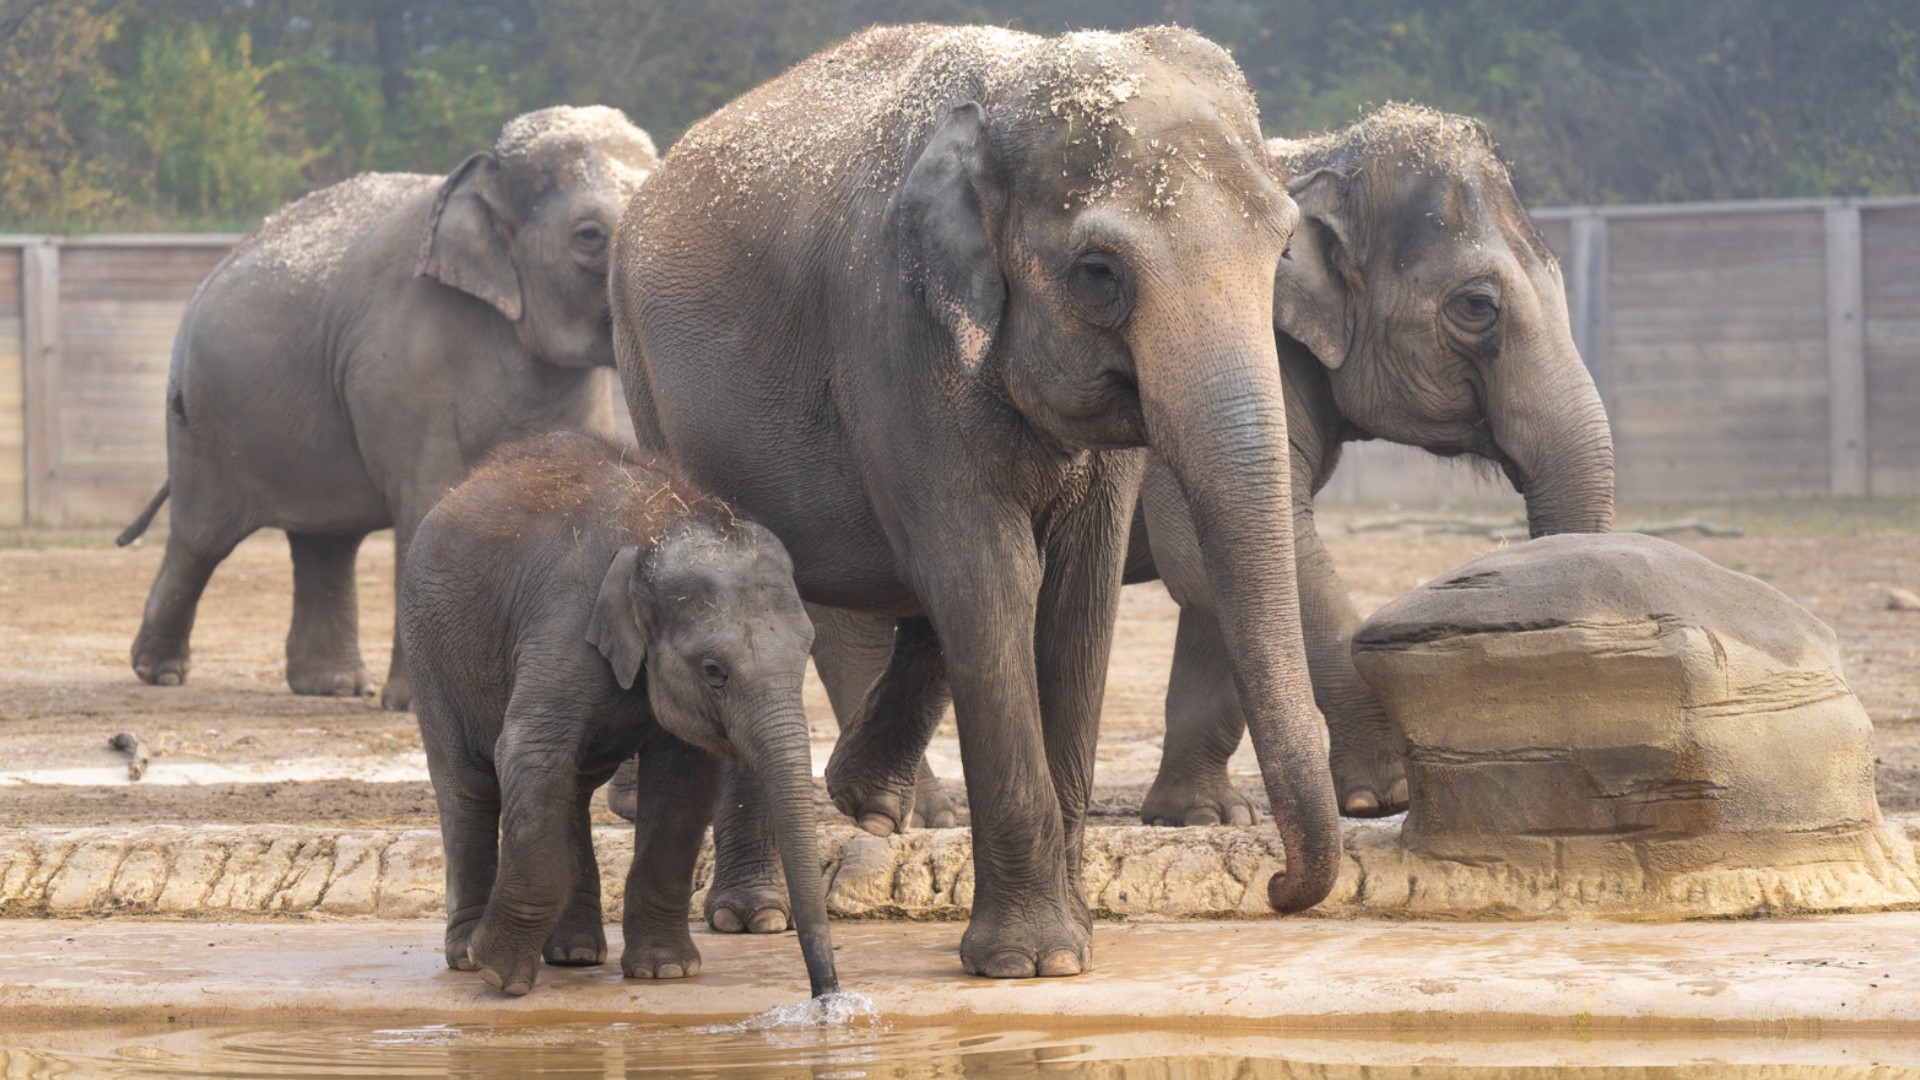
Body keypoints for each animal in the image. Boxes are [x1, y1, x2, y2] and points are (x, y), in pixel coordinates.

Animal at [117, 106, 658, 711]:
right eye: (589, 236)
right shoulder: (402, 368)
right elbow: (428, 496)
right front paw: (413, 706)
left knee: (325, 540)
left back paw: (333, 687)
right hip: (201, 422)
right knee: (202, 537)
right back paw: (160, 672)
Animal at [401, 431, 836, 1000]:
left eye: (808, 649)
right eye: (714, 670)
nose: (828, 996)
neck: (661, 522)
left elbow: (682, 783)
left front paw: (666, 972)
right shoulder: (564, 622)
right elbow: (528, 752)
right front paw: (499, 973)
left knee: (571, 786)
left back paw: (575, 954)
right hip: (429, 649)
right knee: (470, 783)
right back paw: (468, 958)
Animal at [612, 25, 1338, 980]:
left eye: (1282, 251)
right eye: (1098, 272)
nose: (1281, 888)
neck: (1005, 95)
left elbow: (1075, 596)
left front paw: (1076, 941)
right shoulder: (894, 332)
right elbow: (990, 578)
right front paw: (1032, 962)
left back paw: (862, 800)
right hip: (643, 376)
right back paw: (754, 914)